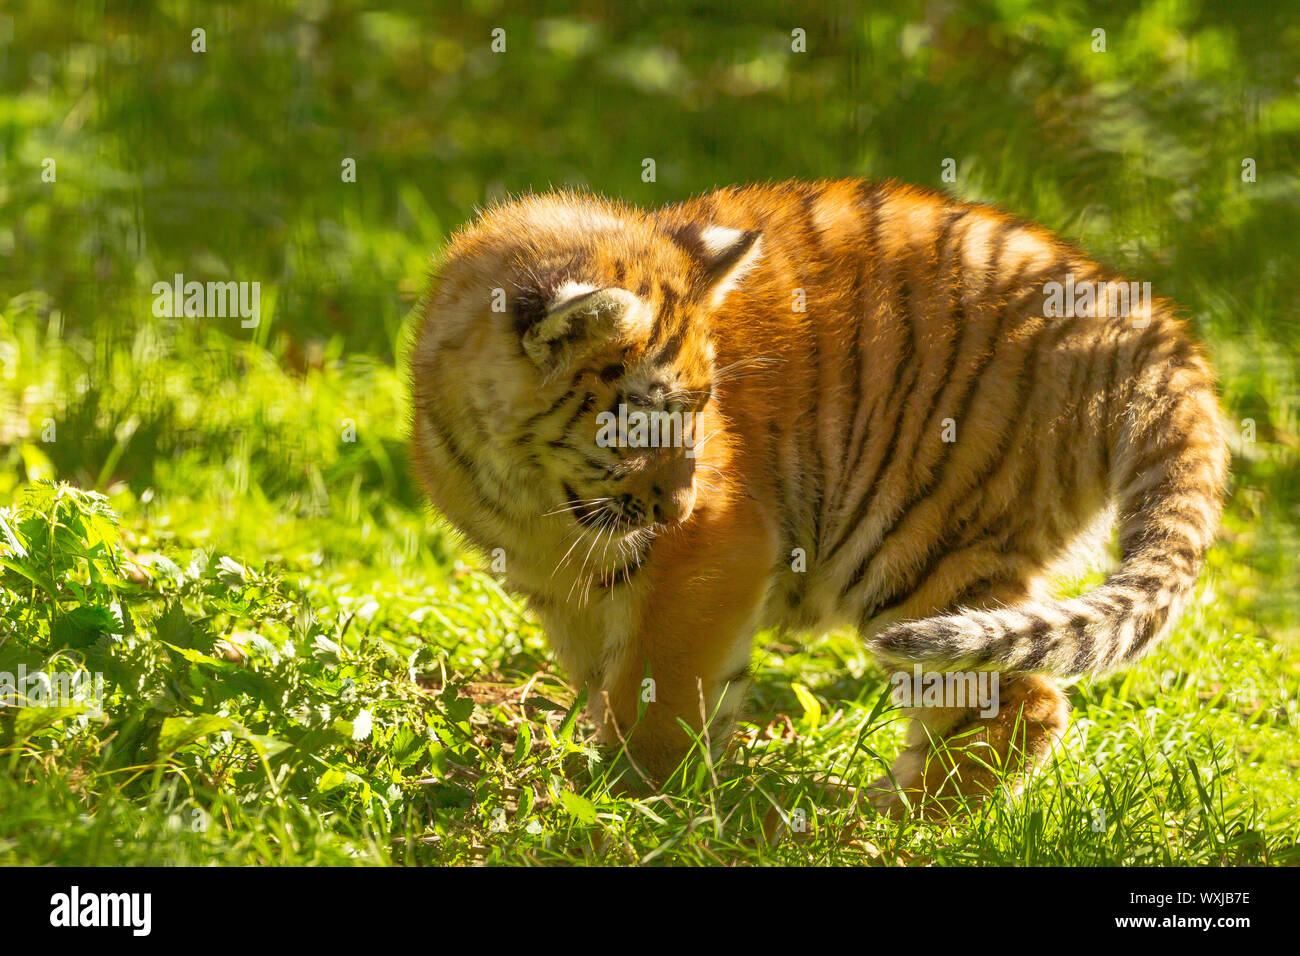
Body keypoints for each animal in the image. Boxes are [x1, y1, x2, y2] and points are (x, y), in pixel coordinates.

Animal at [409, 178, 1229, 817]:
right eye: (642, 420)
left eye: (699, 410)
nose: (677, 510)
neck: (527, 487)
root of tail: (1147, 322)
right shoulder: (565, 592)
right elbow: (615, 679)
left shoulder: (717, 549)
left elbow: (655, 690)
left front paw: (633, 799)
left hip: (918, 548)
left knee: (1026, 703)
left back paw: (885, 821)